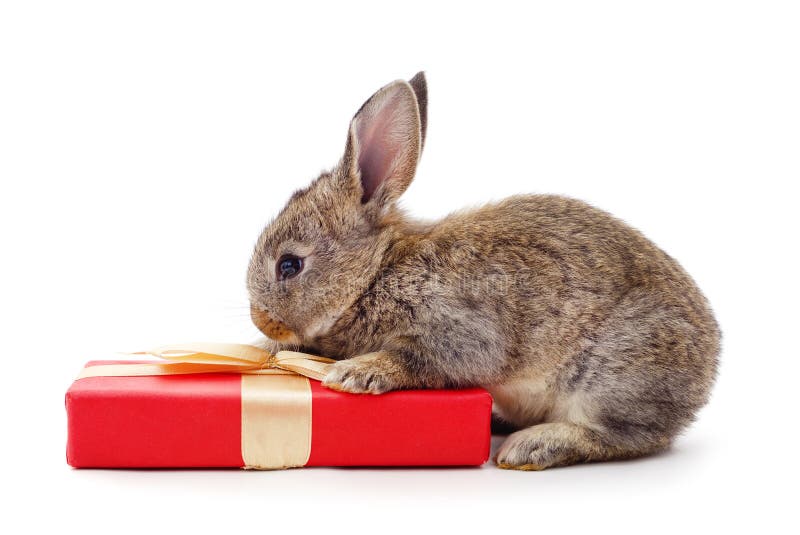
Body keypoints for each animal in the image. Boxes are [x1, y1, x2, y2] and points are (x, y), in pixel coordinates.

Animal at [246, 72, 720, 470]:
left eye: (289, 265)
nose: (259, 319)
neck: (377, 273)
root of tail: (708, 370)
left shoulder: (457, 329)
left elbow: (419, 359)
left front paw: (357, 373)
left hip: (611, 378)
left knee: (624, 437)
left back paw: (531, 446)